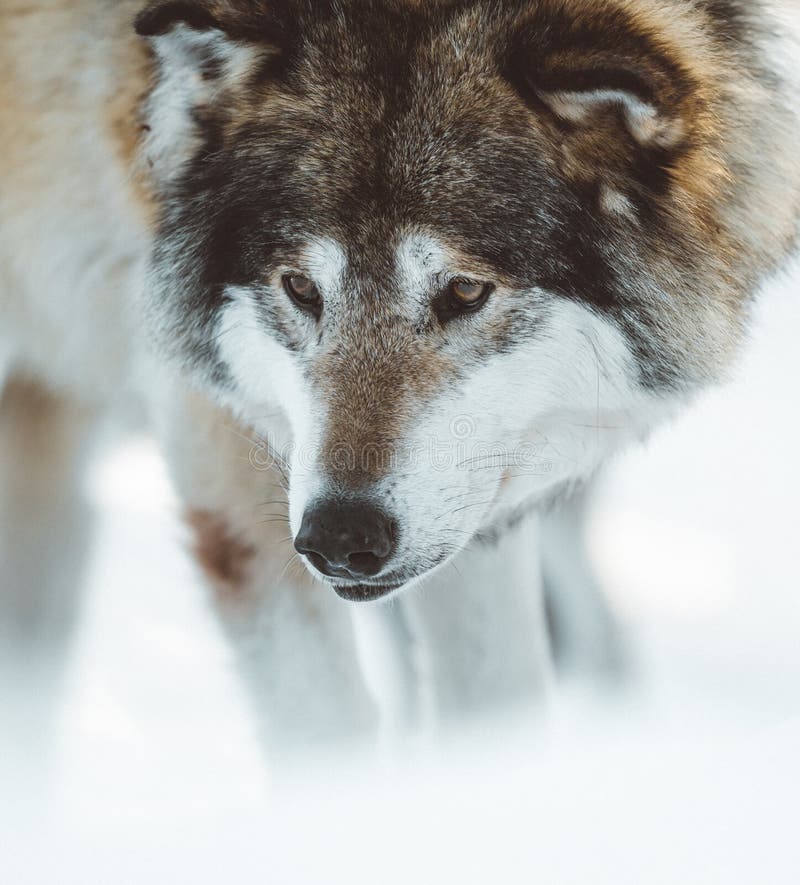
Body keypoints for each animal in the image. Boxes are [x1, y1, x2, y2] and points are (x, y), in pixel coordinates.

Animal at [1, 0, 798, 751]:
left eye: (465, 291)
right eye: (300, 288)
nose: (339, 536)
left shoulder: (471, 512)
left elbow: (502, 698)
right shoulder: (226, 453)